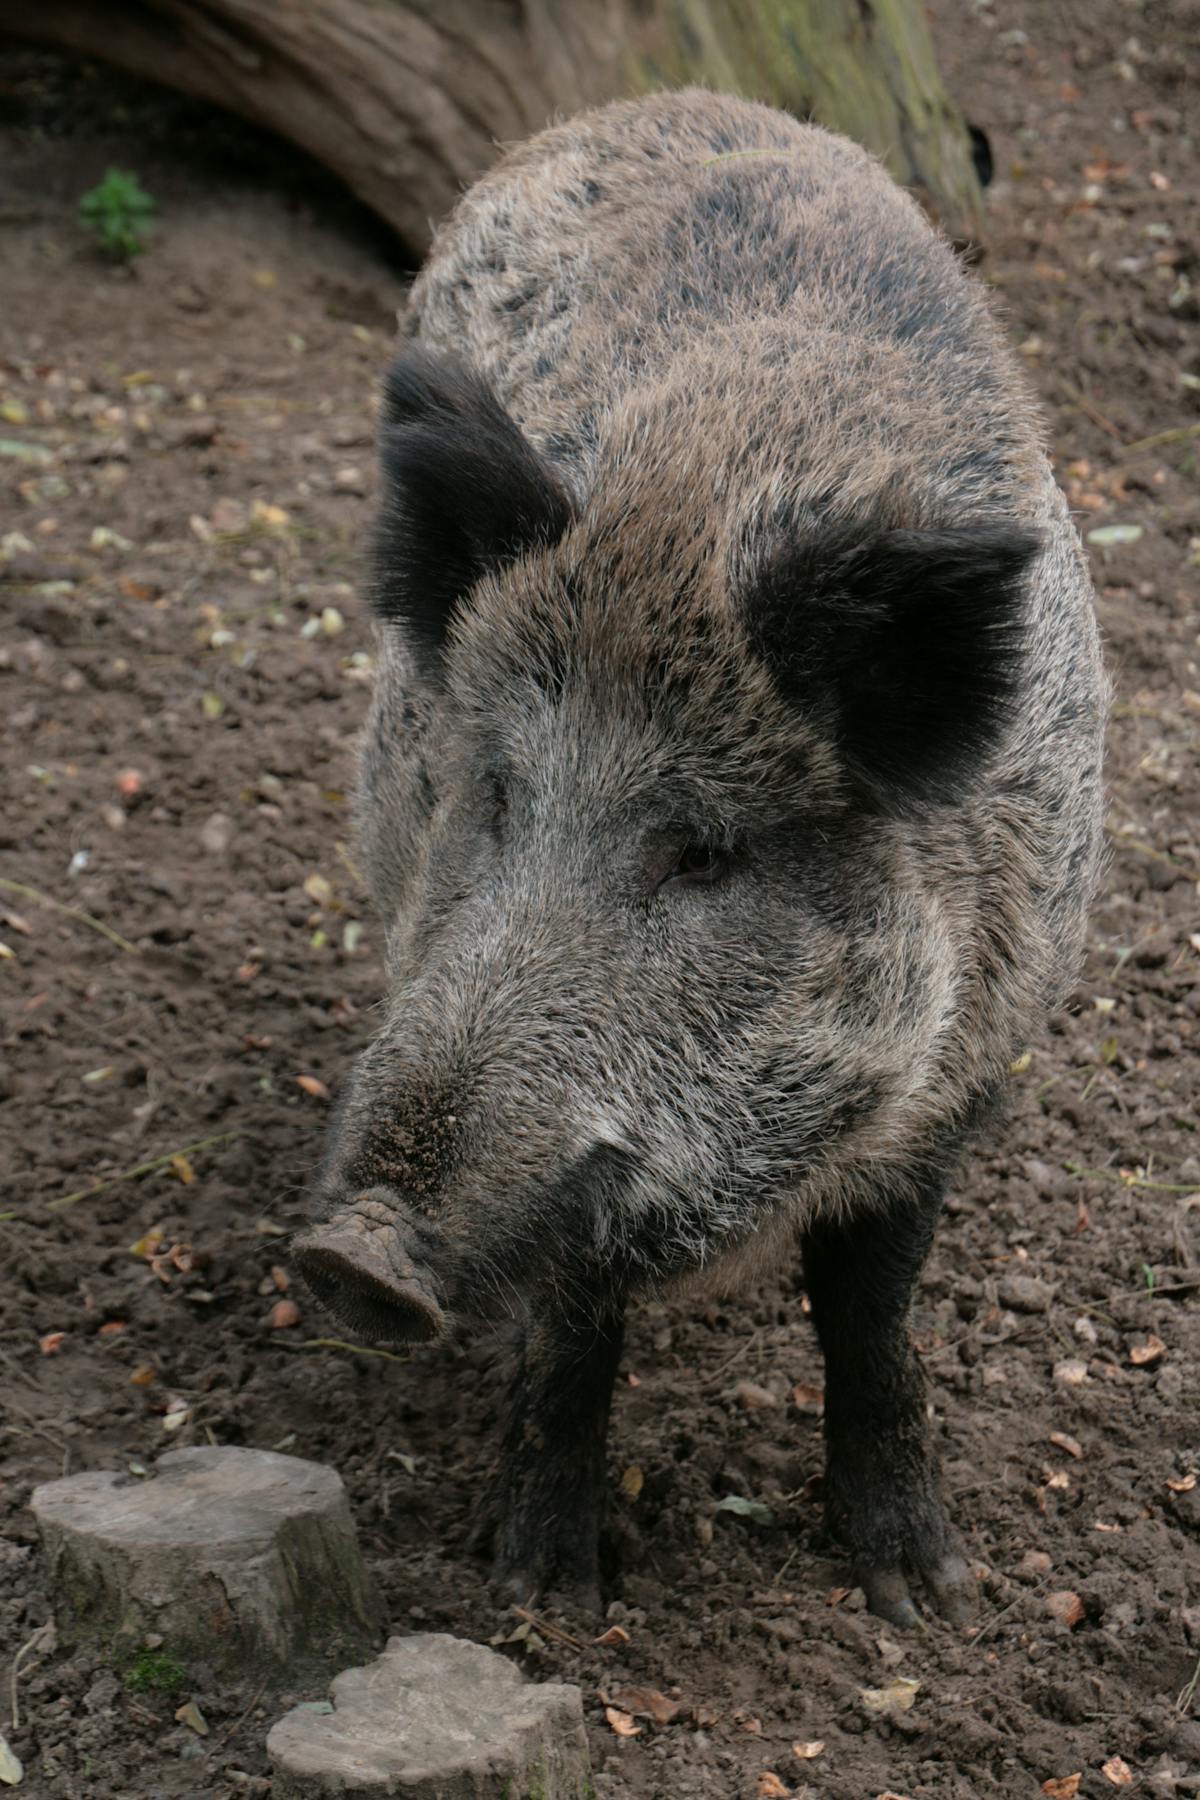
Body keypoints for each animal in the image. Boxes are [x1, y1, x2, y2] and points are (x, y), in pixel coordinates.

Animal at [294, 90, 1107, 1628]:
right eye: (501, 791)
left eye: (705, 854)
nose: (351, 1252)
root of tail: (654, 102)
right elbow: (572, 1315)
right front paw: (546, 1593)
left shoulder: (971, 1064)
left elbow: (870, 1307)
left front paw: (923, 1594)